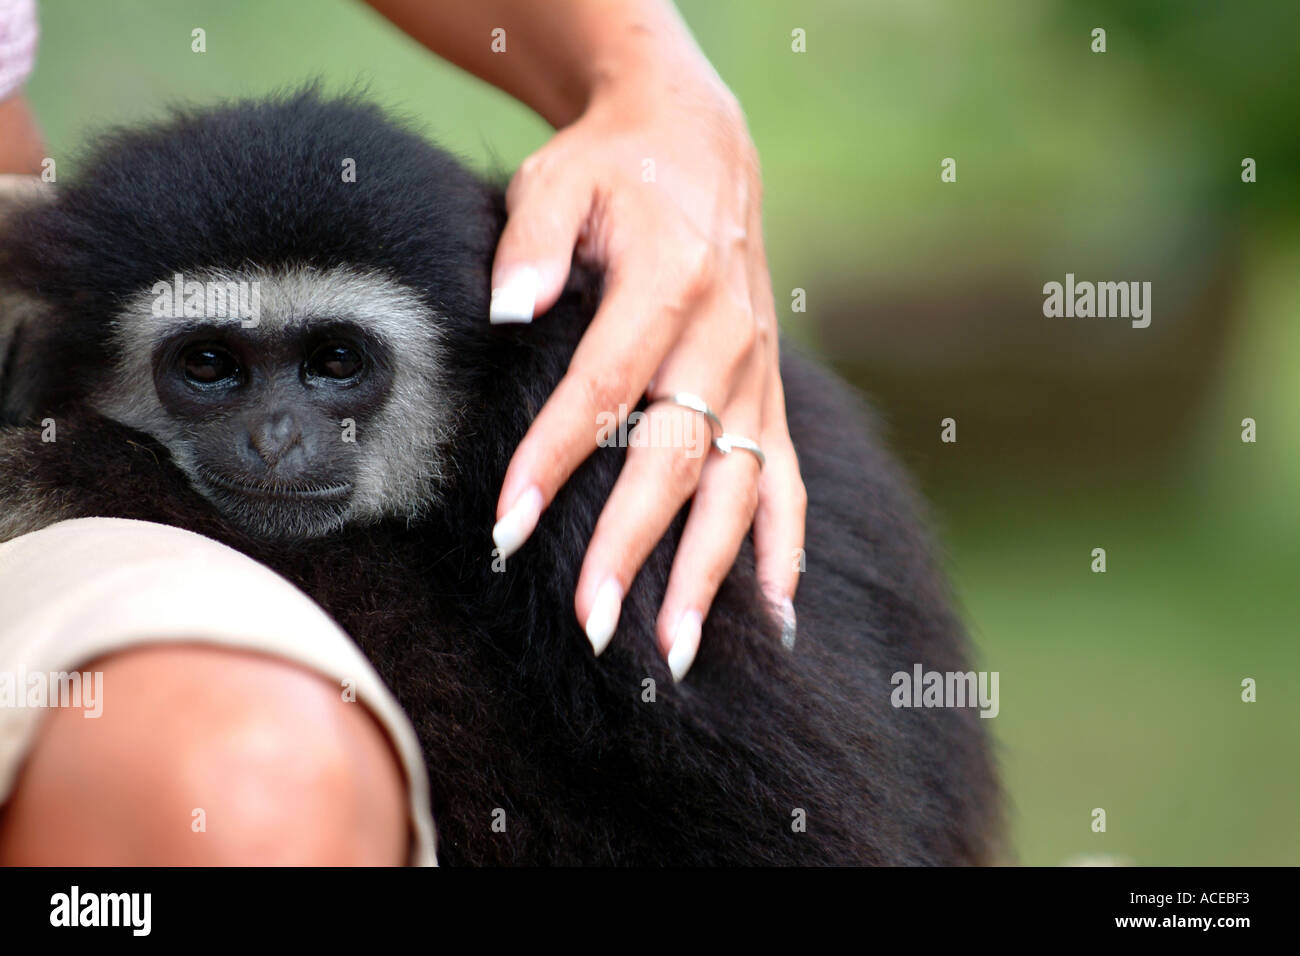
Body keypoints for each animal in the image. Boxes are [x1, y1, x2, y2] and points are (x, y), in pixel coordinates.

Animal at [0, 90, 1000, 865]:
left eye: (336, 361)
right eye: (208, 364)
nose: (276, 438)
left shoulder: (596, 448)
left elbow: (795, 838)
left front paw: (74, 466)